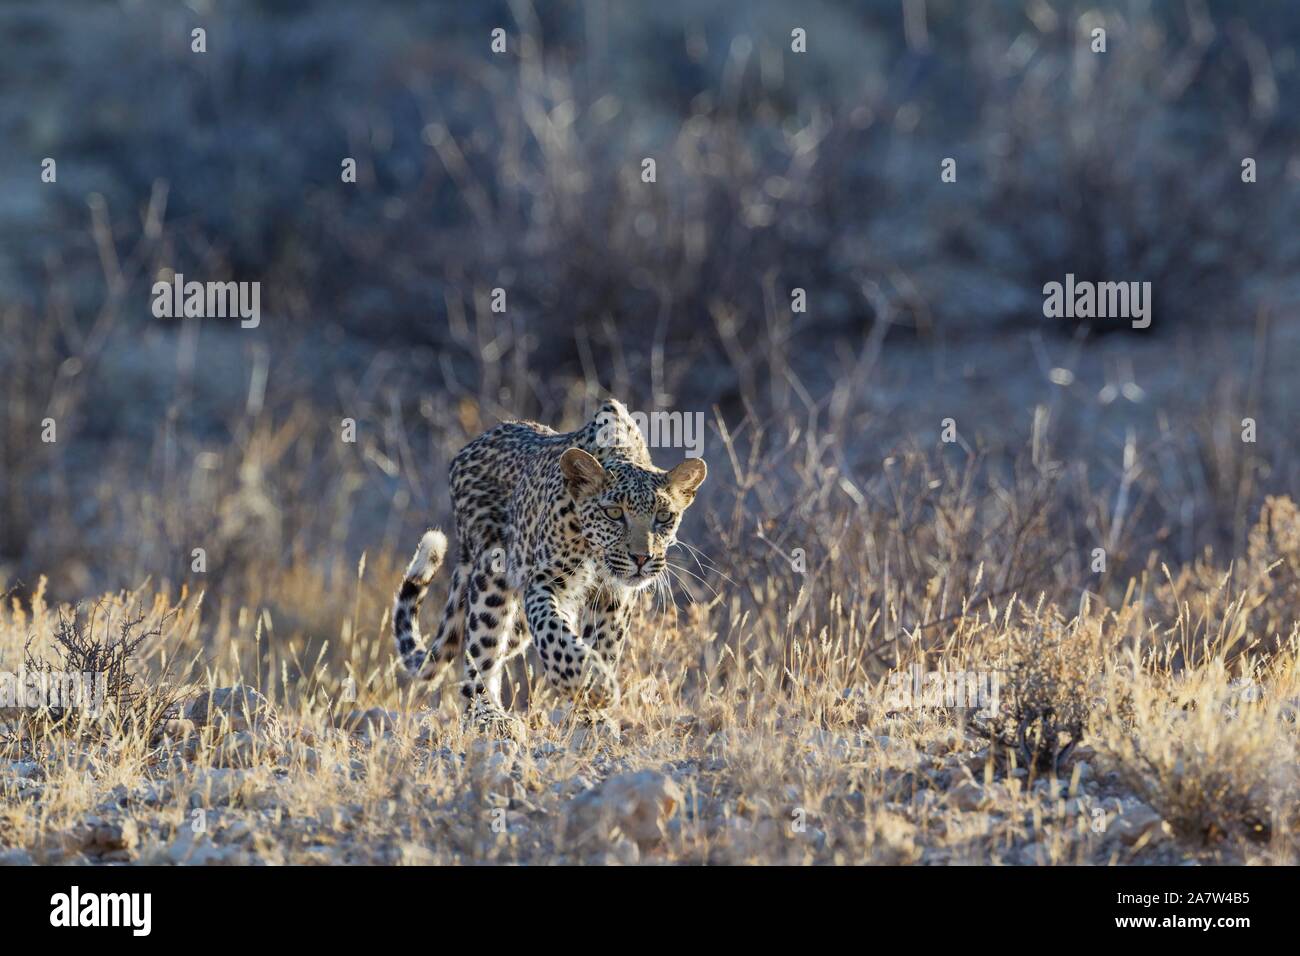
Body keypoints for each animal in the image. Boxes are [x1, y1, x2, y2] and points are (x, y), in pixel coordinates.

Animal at [391, 398, 707, 731]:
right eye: (613, 513)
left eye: (664, 516)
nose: (641, 558)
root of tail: (465, 452)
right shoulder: (545, 582)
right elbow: (555, 633)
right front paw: (593, 685)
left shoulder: (615, 595)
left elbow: (604, 641)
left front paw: (588, 709)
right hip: (492, 574)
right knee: (479, 648)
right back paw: (488, 715)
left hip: (517, 624)